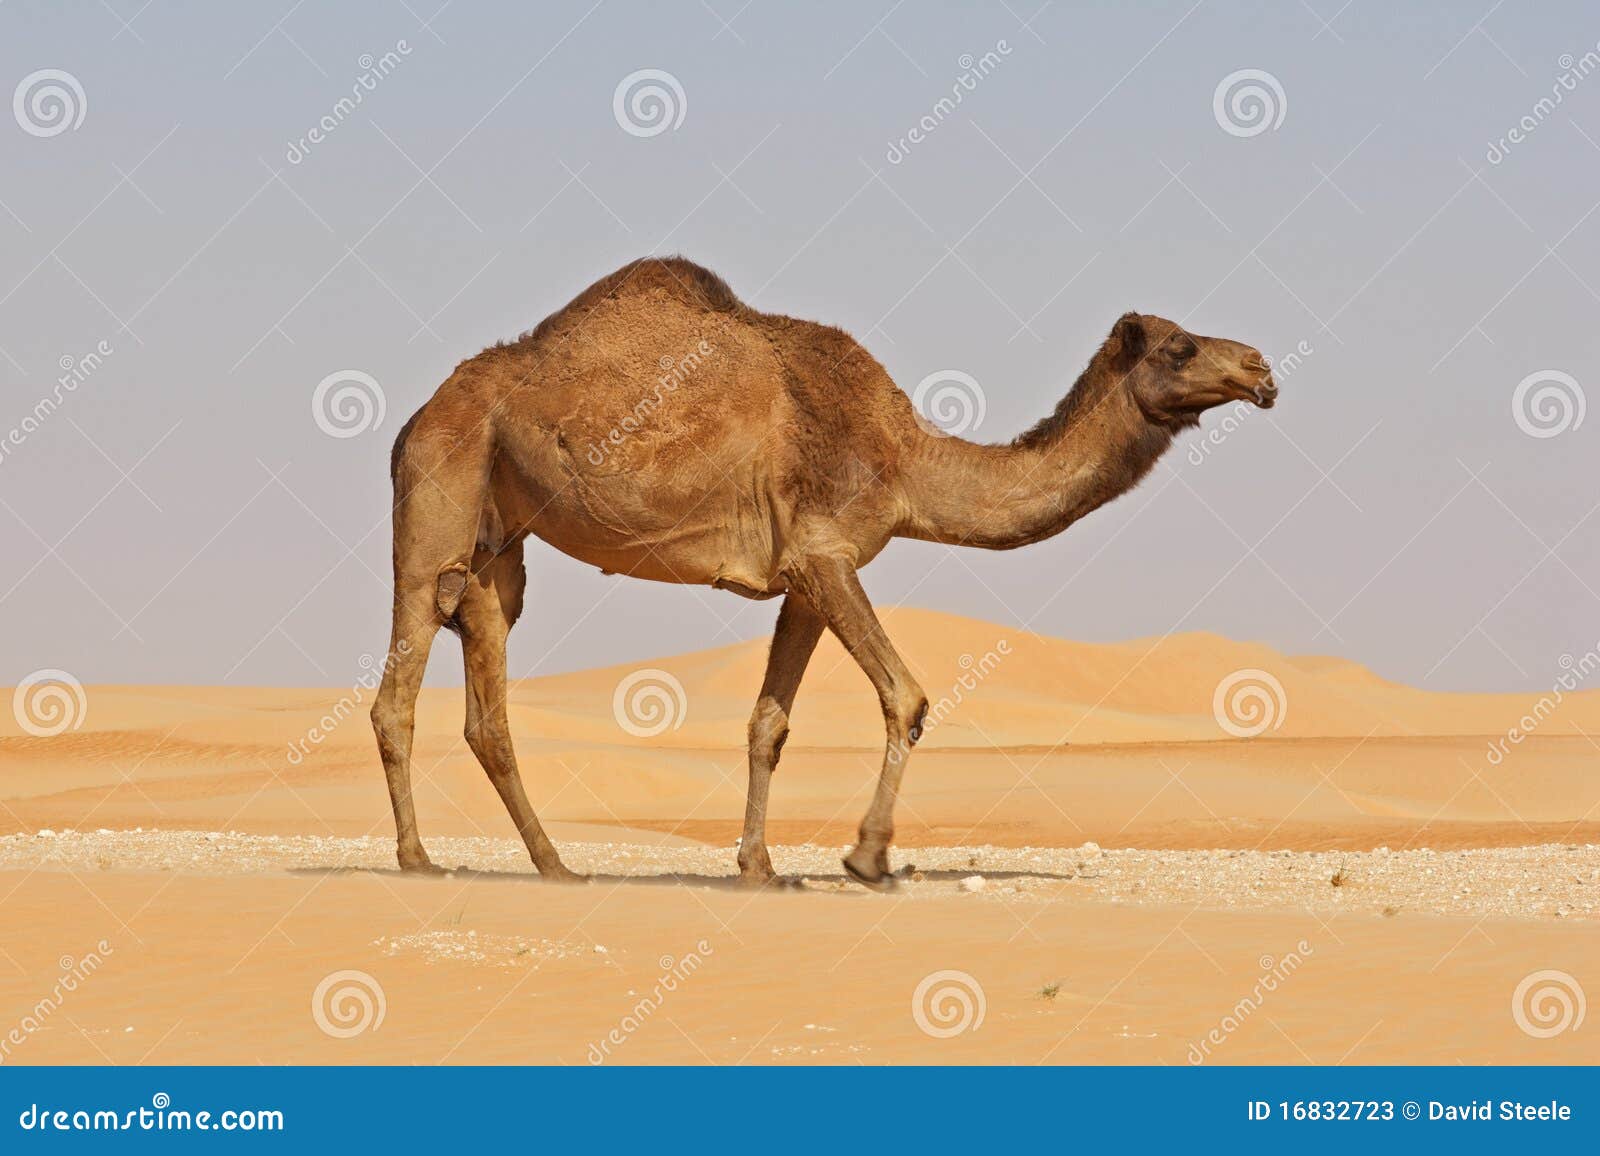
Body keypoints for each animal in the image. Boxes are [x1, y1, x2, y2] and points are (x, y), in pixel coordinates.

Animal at [371, 256, 1277, 889]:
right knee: (400, 682)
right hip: (440, 488)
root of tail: (416, 416)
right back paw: (418, 859)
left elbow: (768, 725)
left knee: (488, 695)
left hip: (498, 542)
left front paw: (760, 867)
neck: (904, 459)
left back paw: (556, 864)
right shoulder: (827, 553)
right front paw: (868, 858)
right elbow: (906, 696)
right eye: (1181, 347)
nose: (1262, 369)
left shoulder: (803, 581)